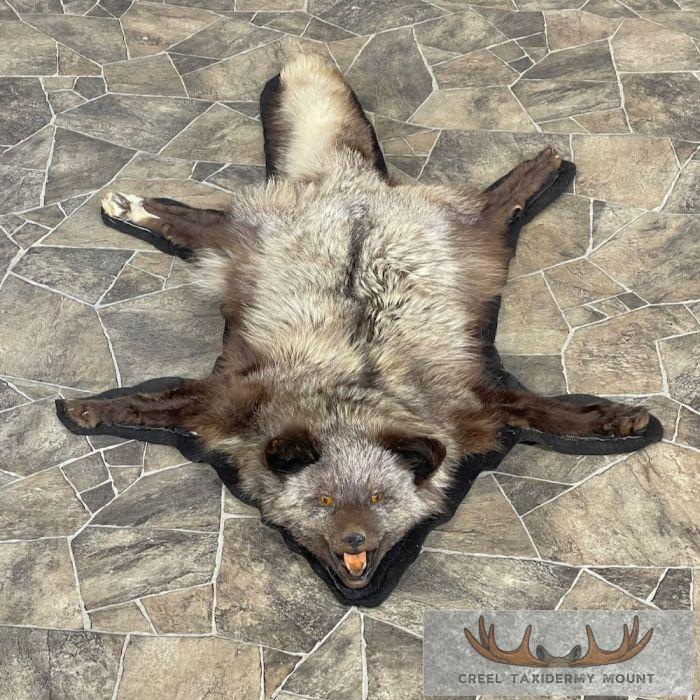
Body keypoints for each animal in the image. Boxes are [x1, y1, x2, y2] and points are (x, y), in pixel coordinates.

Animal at [60, 55, 649, 589]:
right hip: (238, 243)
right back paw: (132, 207)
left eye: (378, 498)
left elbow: (545, 412)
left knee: (495, 203)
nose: (354, 540)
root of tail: (349, 185)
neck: (353, 393)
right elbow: (153, 403)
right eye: (323, 500)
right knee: (198, 222)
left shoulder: (472, 406)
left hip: (471, 235)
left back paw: (542, 165)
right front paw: (90, 410)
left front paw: (617, 420)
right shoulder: (230, 401)